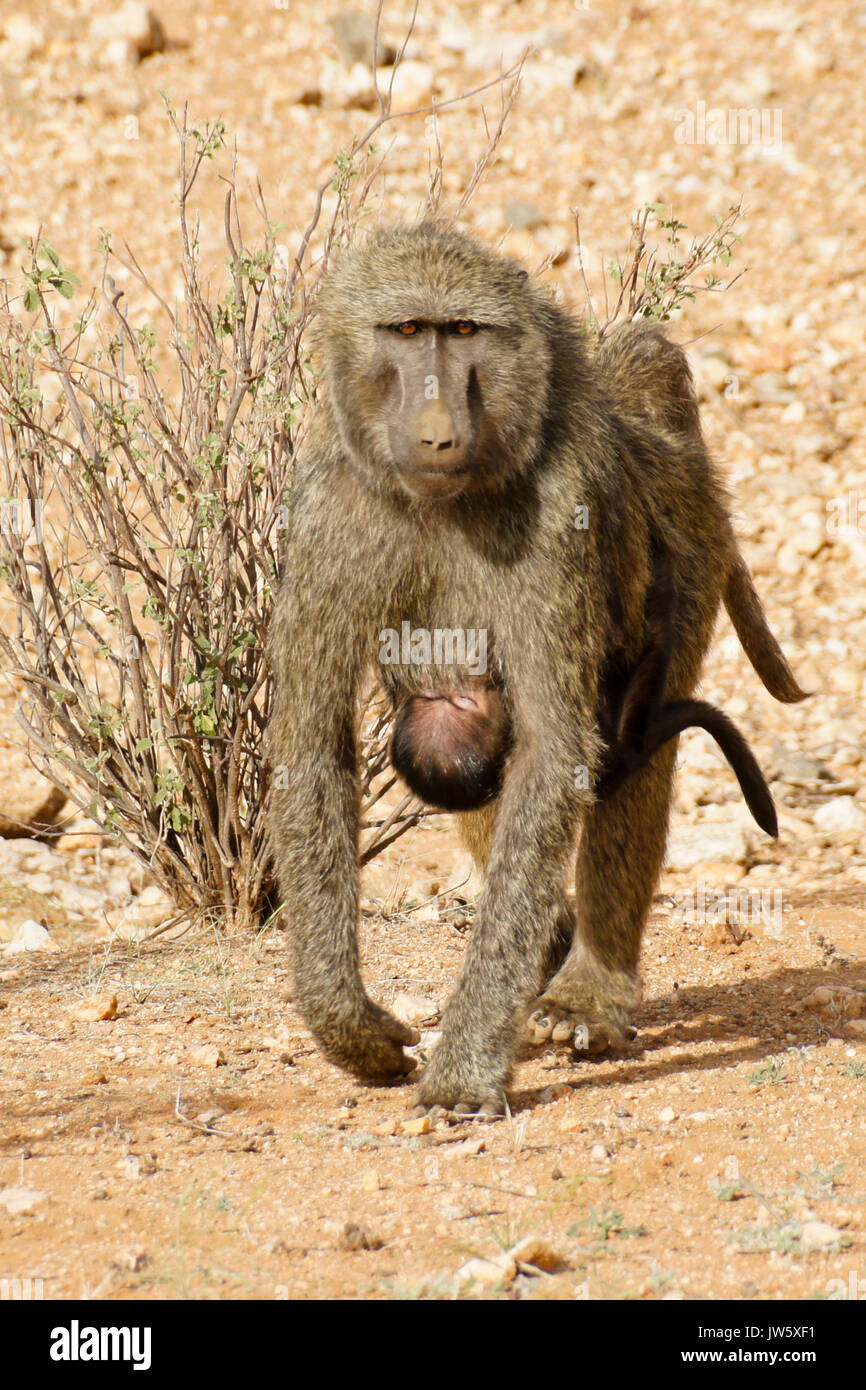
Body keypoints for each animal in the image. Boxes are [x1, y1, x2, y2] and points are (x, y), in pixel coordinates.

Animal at [269, 224, 807, 1113]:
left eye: (462, 331)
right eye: (405, 331)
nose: (438, 429)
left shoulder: (557, 519)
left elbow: (558, 757)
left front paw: (463, 1068)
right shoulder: (324, 517)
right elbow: (312, 750)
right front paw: (346, 1024)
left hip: (692, 542)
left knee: (632, 749)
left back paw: (591, 990)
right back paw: (554, 941)